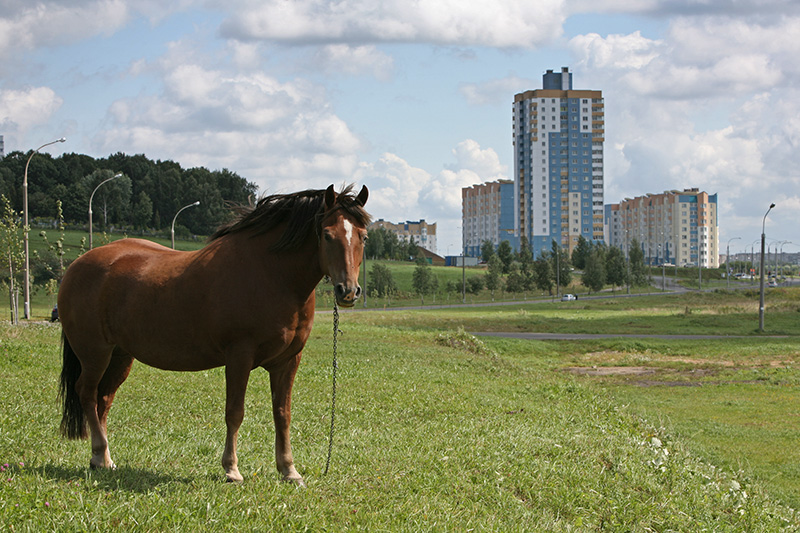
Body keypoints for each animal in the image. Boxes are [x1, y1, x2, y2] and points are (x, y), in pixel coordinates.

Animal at [59, 184, 372, 486]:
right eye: (327, 235)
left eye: (363, 237)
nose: (348, 291)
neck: (271, 274)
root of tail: (77, 266)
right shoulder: (239, 356)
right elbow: (235, 412)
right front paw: (231, 469)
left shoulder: (288, 361)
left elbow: (282, 414)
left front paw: (289, 470)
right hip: (95, 353)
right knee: (86, 393)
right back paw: (99, 452)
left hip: (120, 356)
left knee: (103, 399)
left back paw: (104, 459)